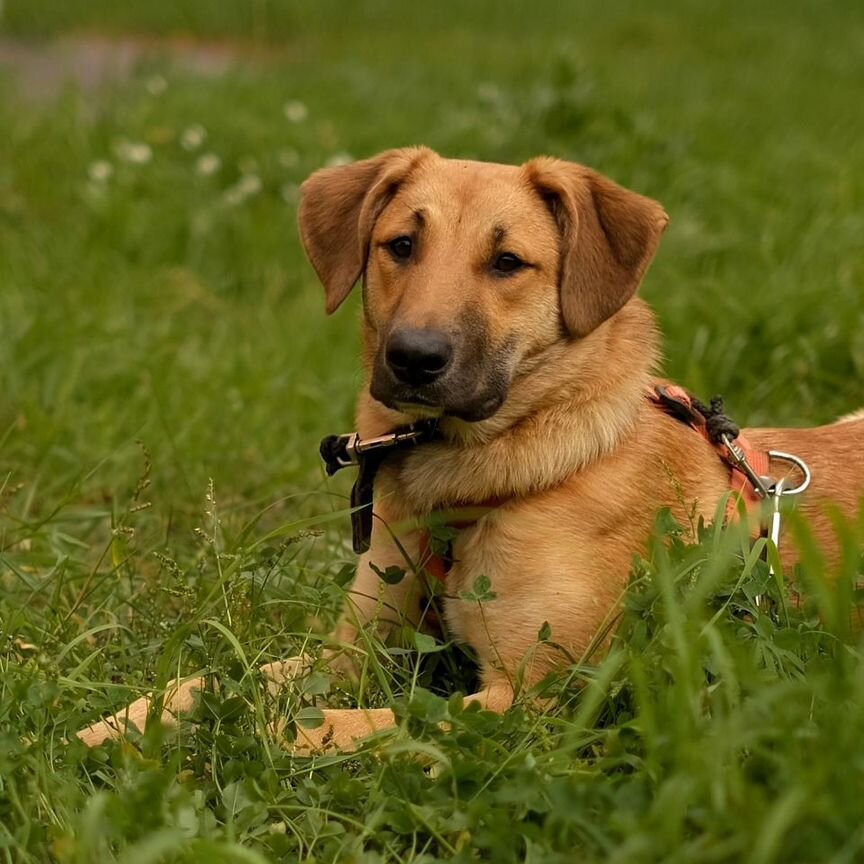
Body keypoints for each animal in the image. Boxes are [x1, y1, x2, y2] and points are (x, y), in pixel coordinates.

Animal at [77, 147, 860, 748]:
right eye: (401, 245)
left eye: (508, 262)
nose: (414, 357)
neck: (469, 486)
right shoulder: (357, 647)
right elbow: (218, 677)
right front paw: (122, 724)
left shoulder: (531, 697)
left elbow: (346, 721)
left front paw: (239, 736)